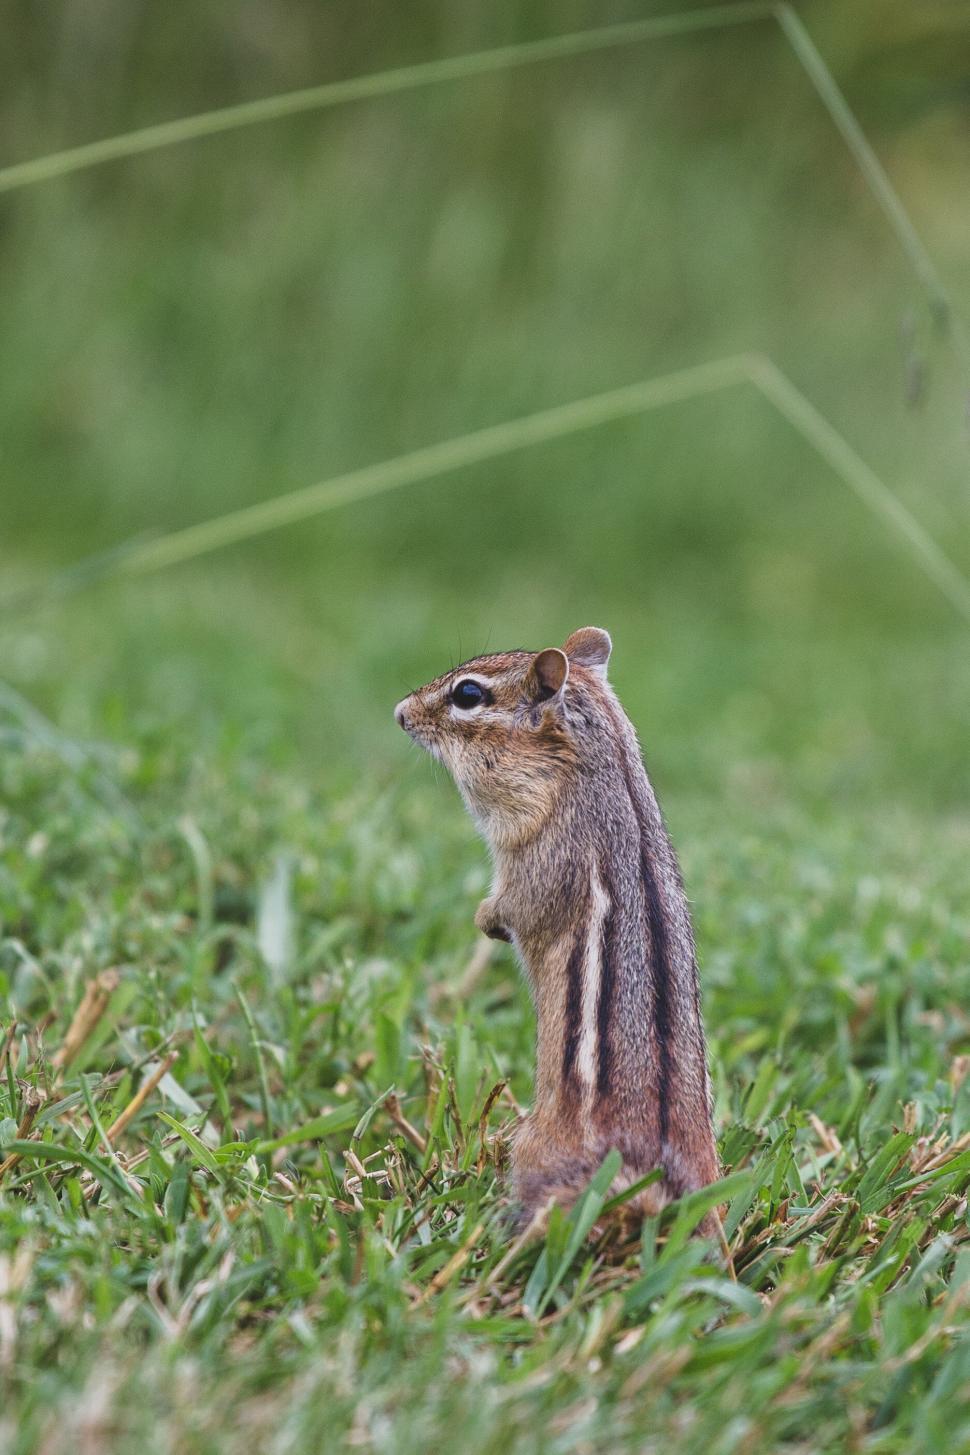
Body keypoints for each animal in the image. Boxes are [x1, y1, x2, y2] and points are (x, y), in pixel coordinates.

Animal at [394, 627, 719, 1226]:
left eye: (467, 695)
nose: (402, 713)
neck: (587, 773)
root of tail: (650, 1177)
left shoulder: (535, 857)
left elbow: (515, 904)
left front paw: (487, 921)